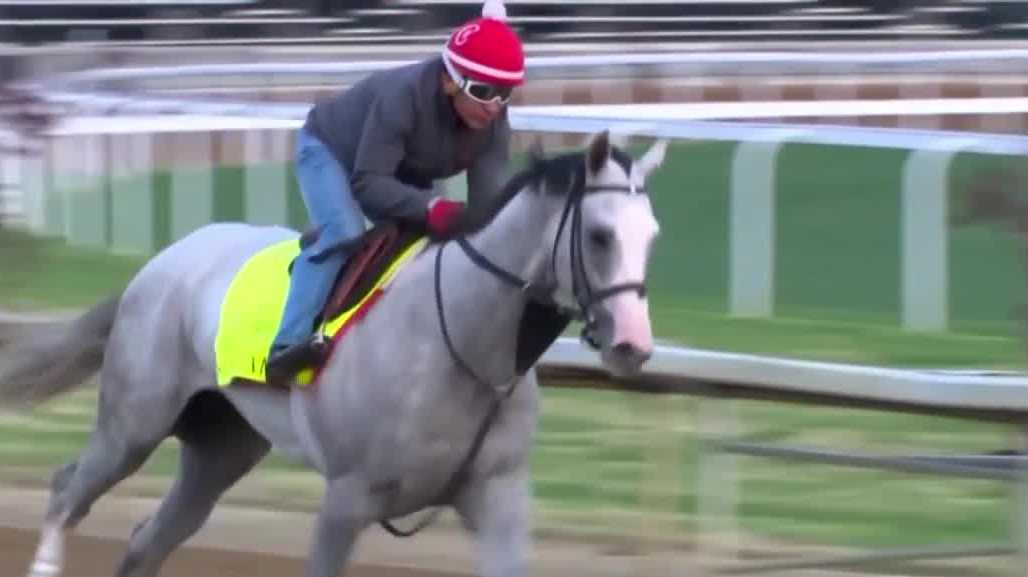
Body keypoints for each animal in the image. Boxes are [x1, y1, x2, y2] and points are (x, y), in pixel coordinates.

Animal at [0, 130, 667, 577]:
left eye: (653, 236)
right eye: (600, 235)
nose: (633, 344)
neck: (461, 342)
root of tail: (158, 264)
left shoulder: (497, 493)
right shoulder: (348, 498)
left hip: (220, 447)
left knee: (150, 539)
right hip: (132, 424)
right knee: (67, 491)